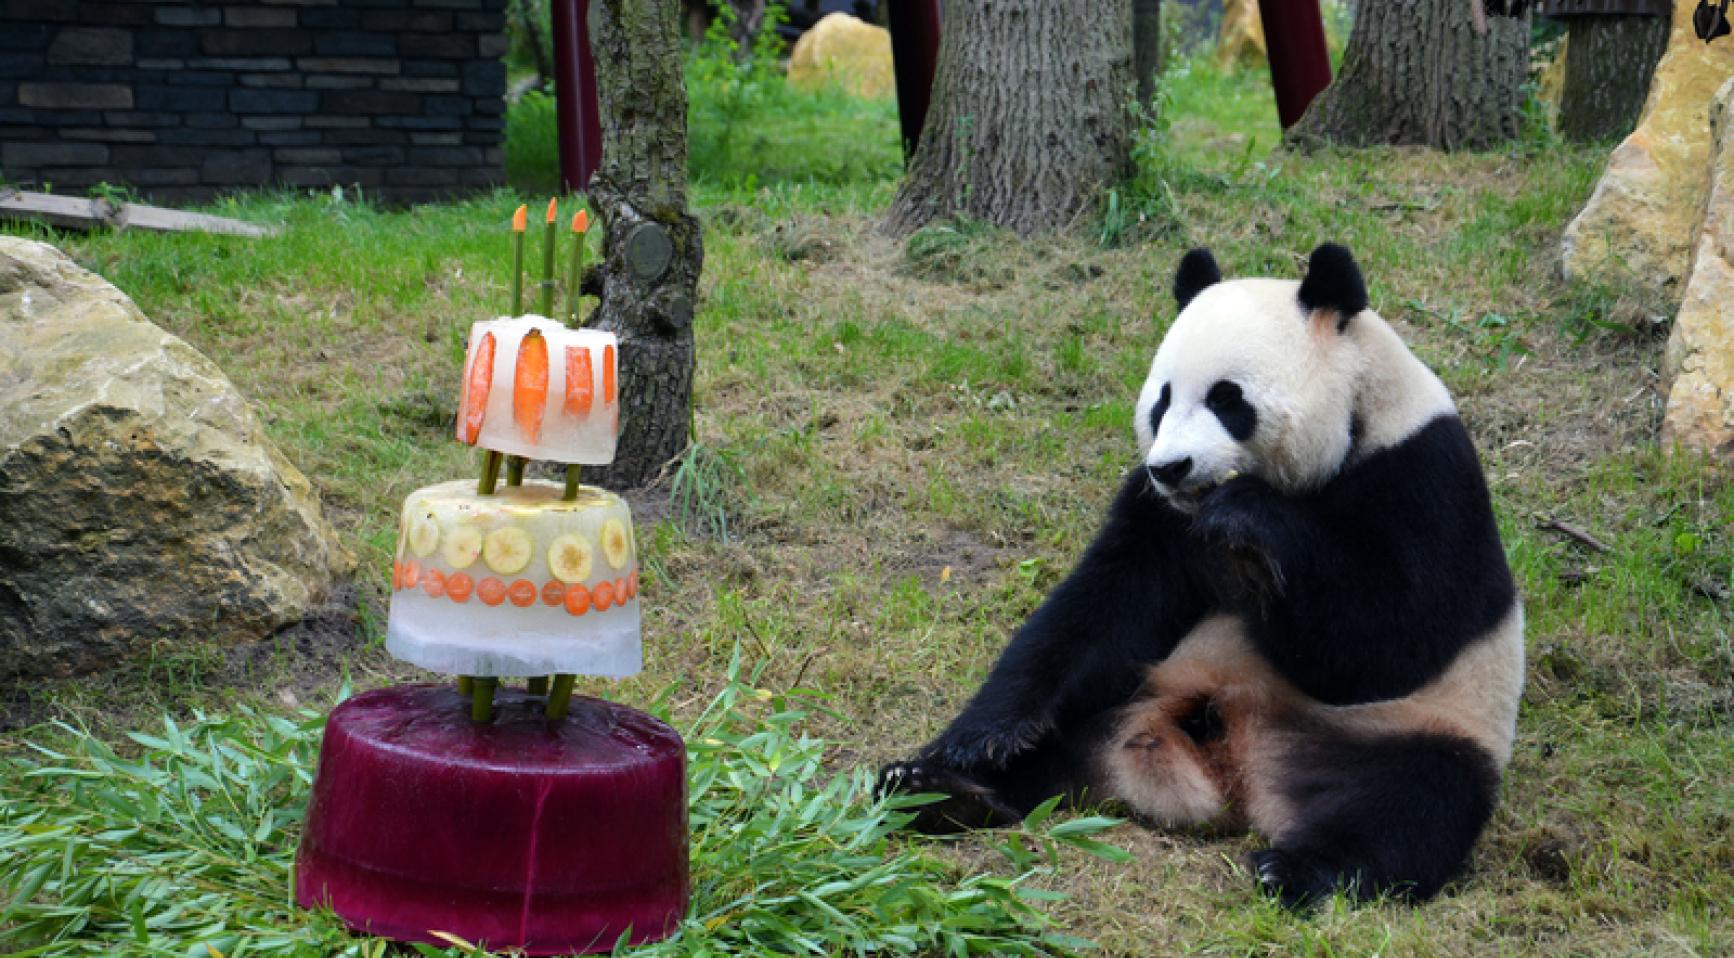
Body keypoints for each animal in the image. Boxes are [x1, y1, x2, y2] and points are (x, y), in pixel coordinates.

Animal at [879, 243, 1524, 906]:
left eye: (1226, 398)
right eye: (1162, 400)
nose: (1171, 467)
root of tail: (1238, 782)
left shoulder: (1423, 474)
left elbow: (1386, 642)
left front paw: (1249, 519)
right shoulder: (1157, 514)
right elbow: (1098, 611)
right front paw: (982, 737)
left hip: (1416, 727)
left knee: (1412, 803)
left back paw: (1296, 869)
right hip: (1133, 695)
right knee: (1057, 747)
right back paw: (935, 790)